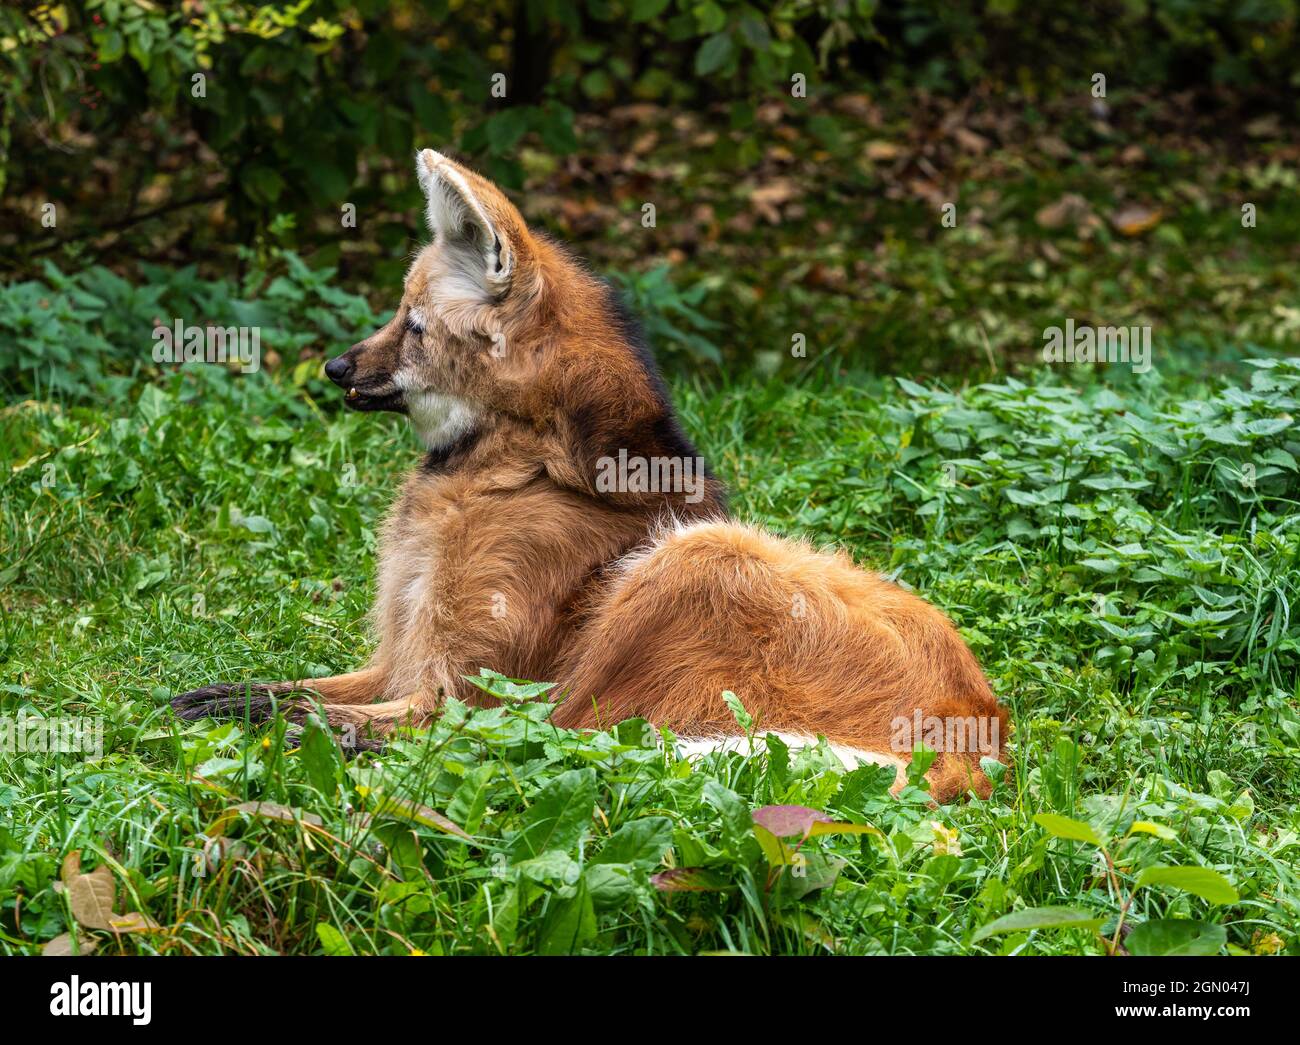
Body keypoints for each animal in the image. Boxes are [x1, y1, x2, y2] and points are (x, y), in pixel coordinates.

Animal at [173, 149, 1008, 801]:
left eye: (413, 325)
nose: (335, 368)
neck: (515, 464)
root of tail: (978, 742)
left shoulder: (465, 682)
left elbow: (407, 714)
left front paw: (252, 718)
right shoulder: (399, 660)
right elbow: (296, 683)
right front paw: (221, 694)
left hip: (700, 558)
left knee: (540, 735)